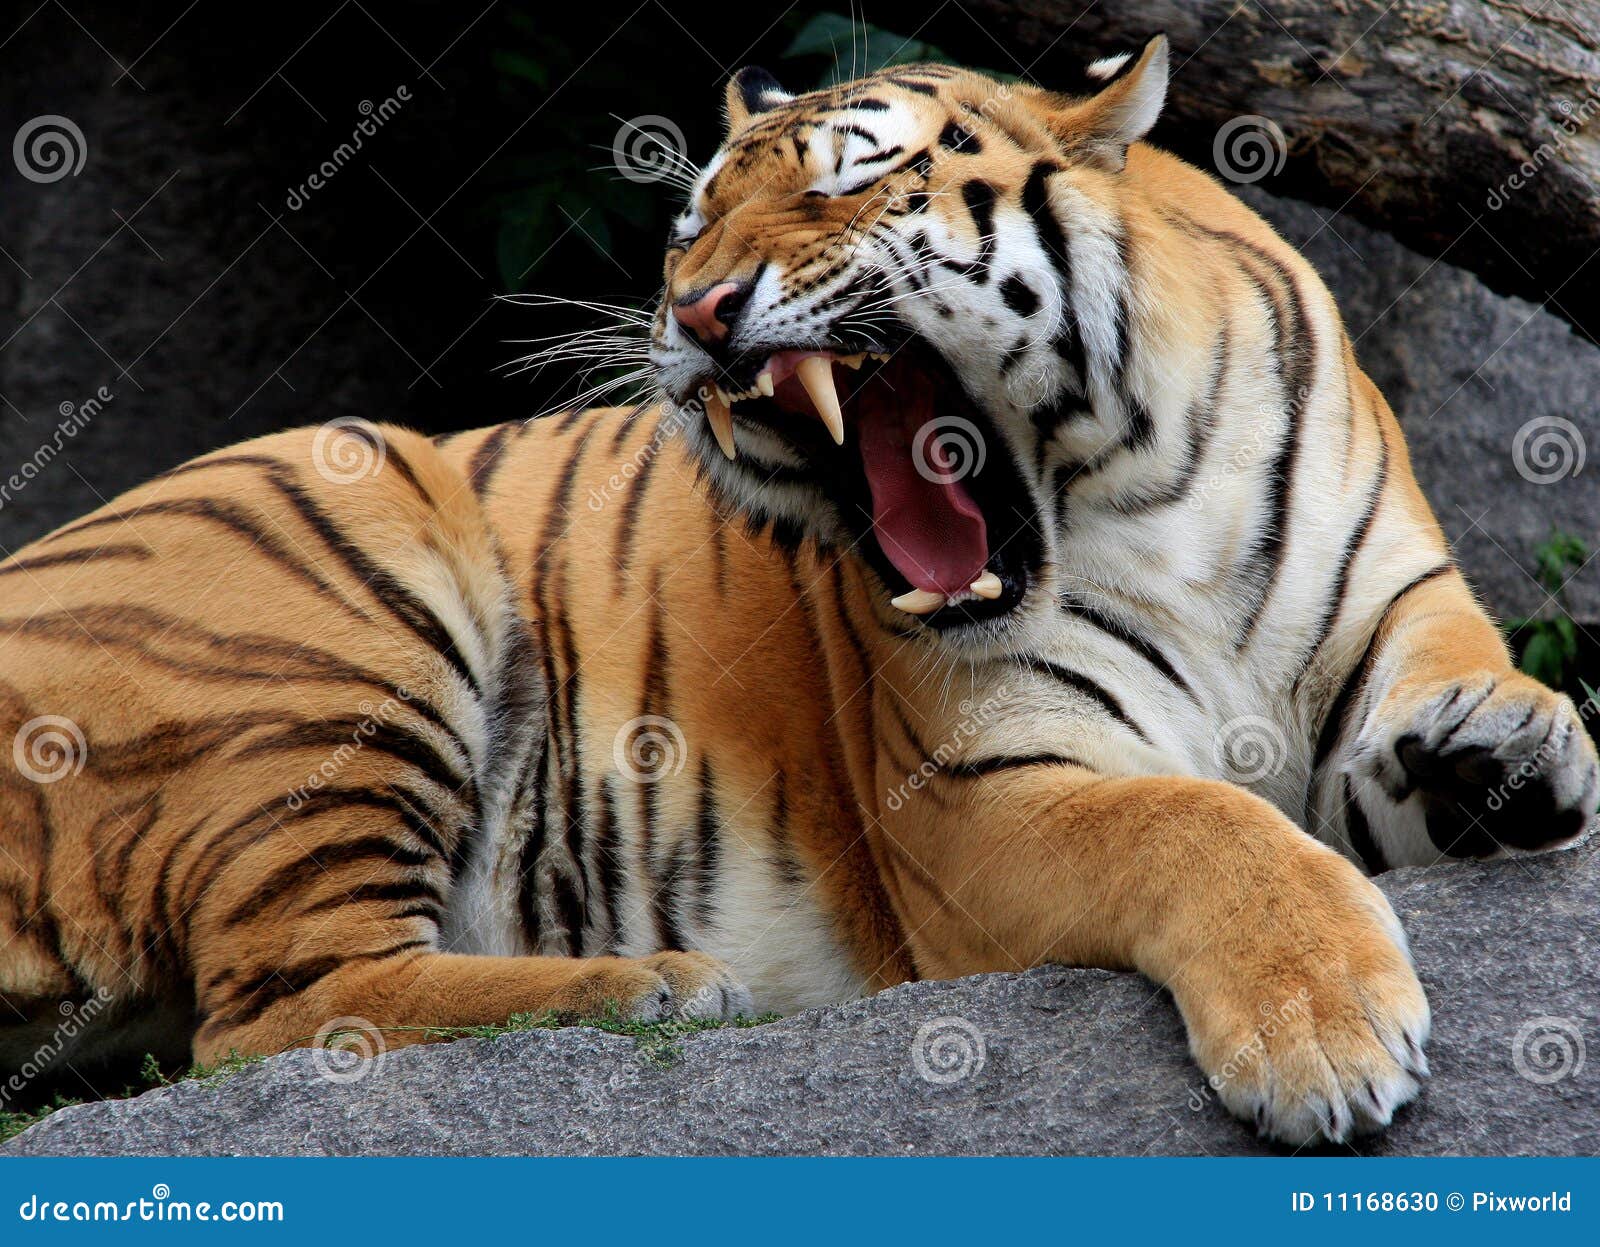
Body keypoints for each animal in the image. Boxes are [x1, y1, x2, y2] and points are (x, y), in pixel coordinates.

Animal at [2, 37, 1595, 1149]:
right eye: (688, 227)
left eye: (847, 180)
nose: (695, 311)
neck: (1144, 493)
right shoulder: (979, 791)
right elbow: (1198, 825)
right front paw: (1323, 1032)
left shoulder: (1394, 609)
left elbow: (1466, 695)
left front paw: (1505, 749)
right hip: (344, 586)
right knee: (280, 1004)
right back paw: (649, 983)